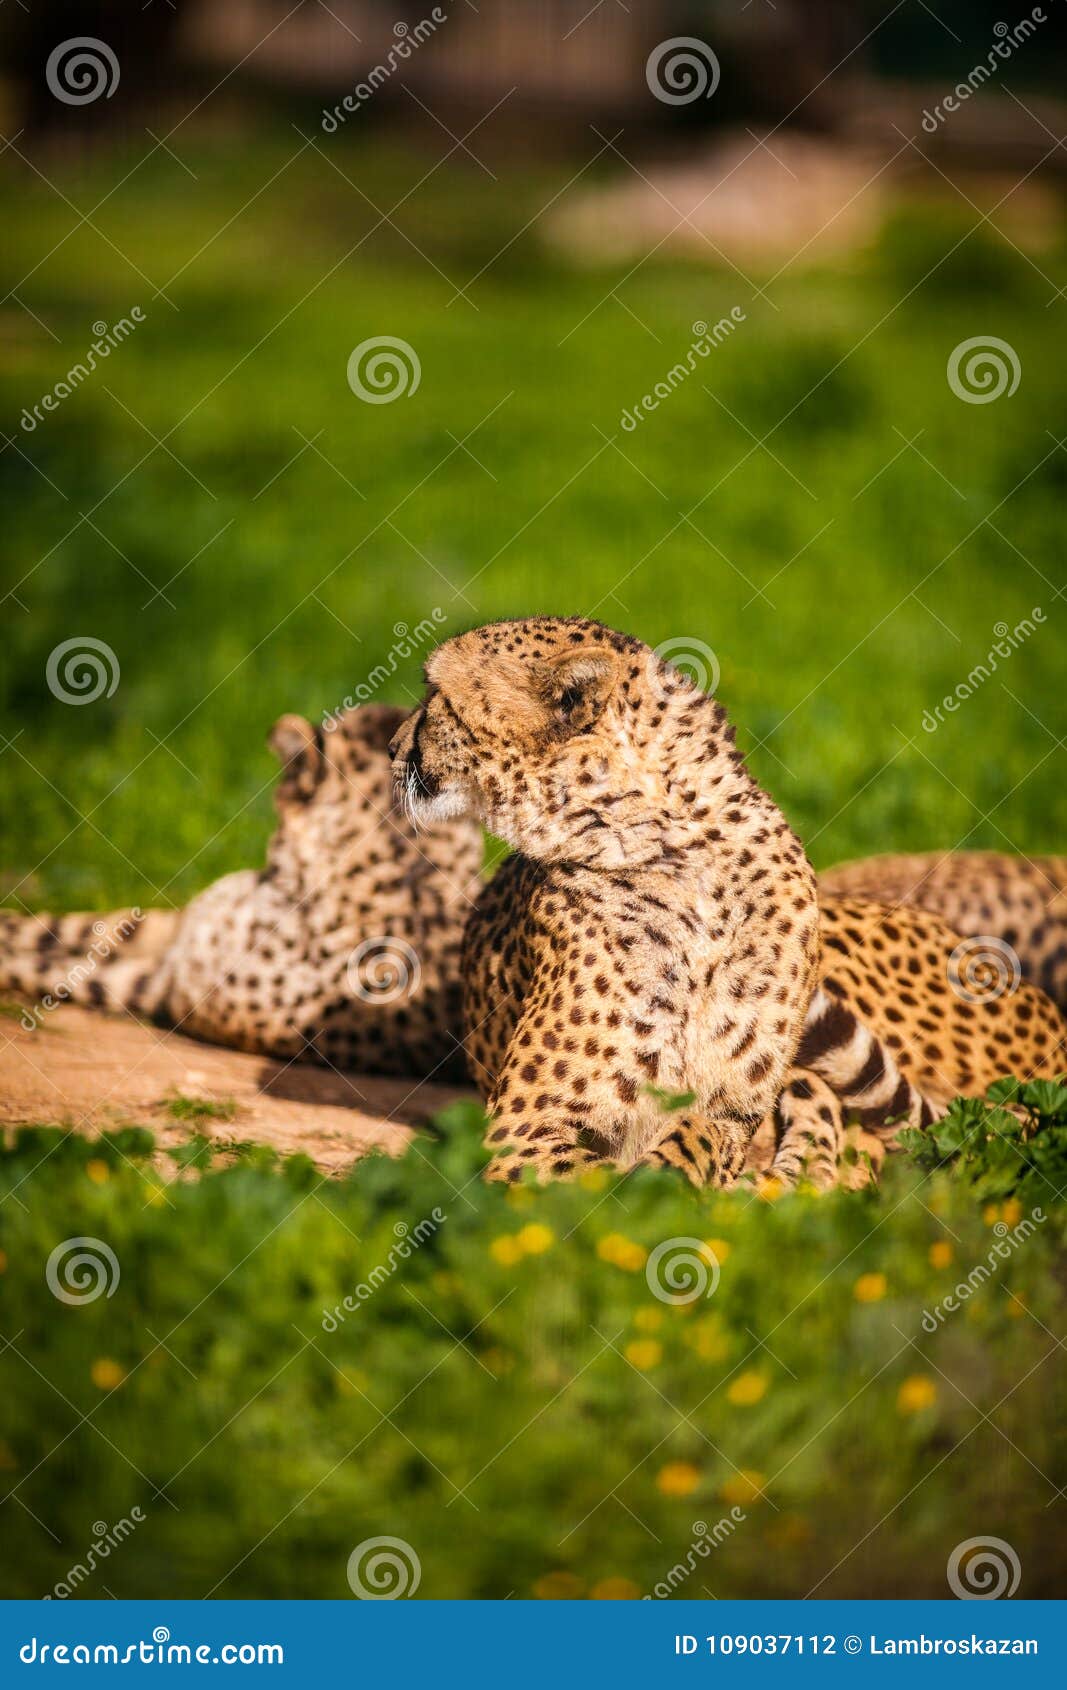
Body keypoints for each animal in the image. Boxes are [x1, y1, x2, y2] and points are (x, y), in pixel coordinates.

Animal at [391, 616, 1066, 1189]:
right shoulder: (524, 1130)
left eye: (435, 697)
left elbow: (695, 1141)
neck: (673, 845)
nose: (394, 749)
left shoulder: (734, 1102)